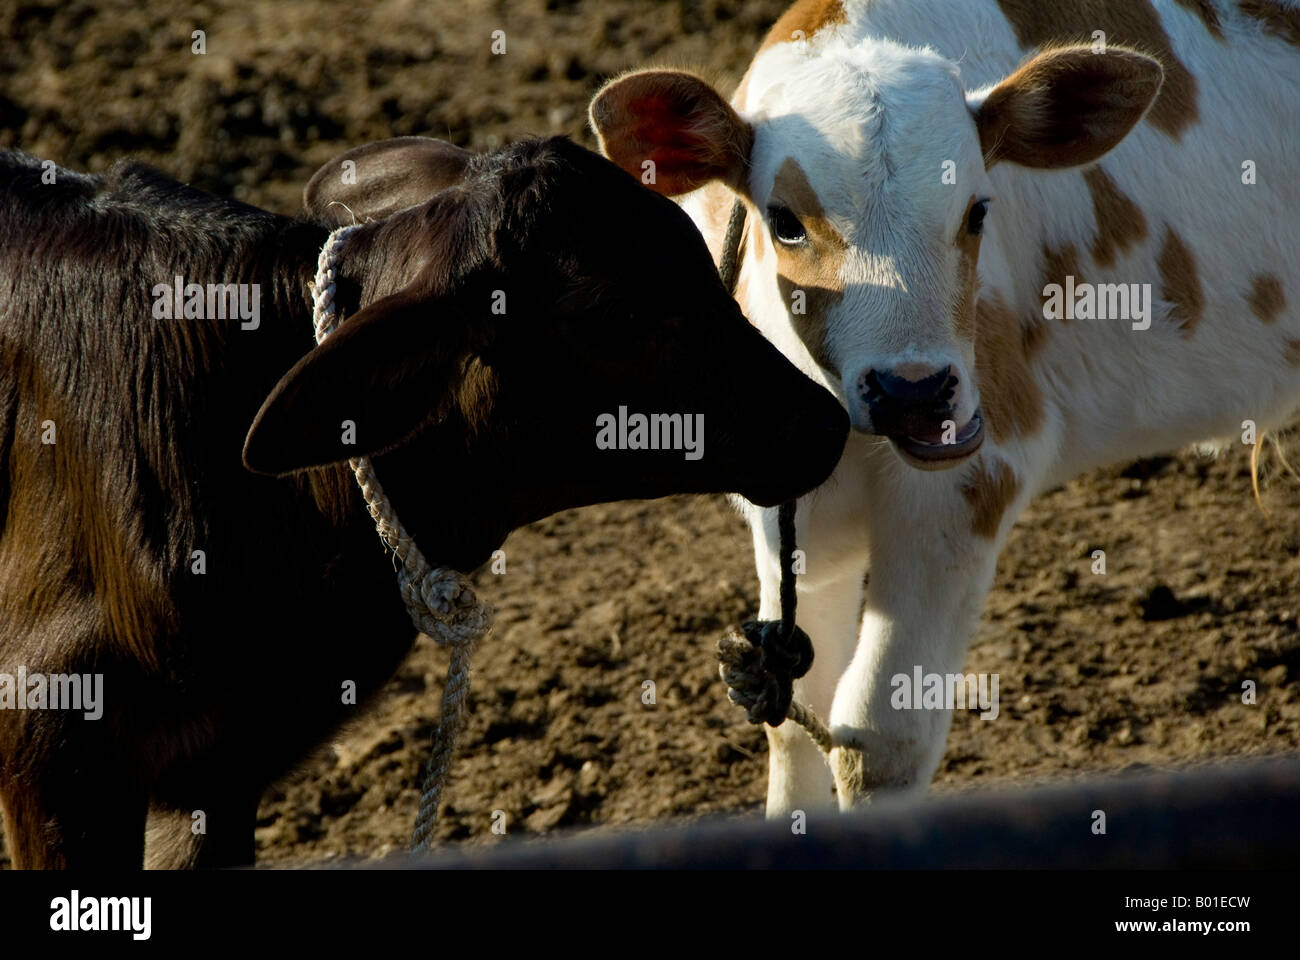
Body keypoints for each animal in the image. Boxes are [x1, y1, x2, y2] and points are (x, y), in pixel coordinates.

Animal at [591, 0, 1300, 814]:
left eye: (978, 211)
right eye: (784, 219)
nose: (914, 392)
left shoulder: (974, 471)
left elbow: (879, 741)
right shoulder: (786, 510)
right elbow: (793, 717)